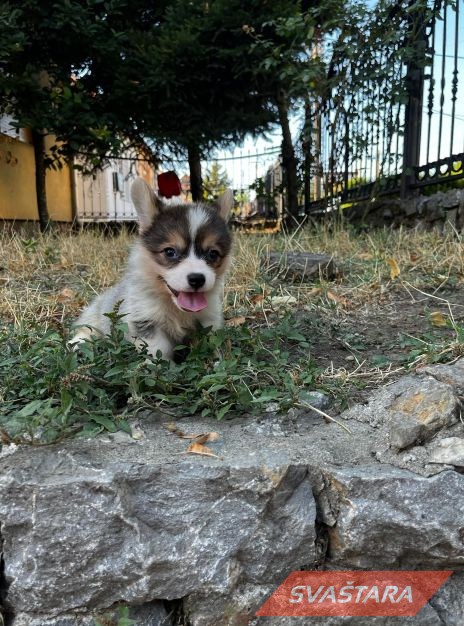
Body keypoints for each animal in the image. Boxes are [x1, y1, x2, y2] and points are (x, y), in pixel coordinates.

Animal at [72, 178, 232, 358]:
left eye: (213, 254)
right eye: (169, 252)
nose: (197, 279)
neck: (175, 307)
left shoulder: (208, 319)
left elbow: (209, 342)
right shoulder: (146, 320)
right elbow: (158, 349)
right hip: (98, 313)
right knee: (89, 327)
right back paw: (79, 342)